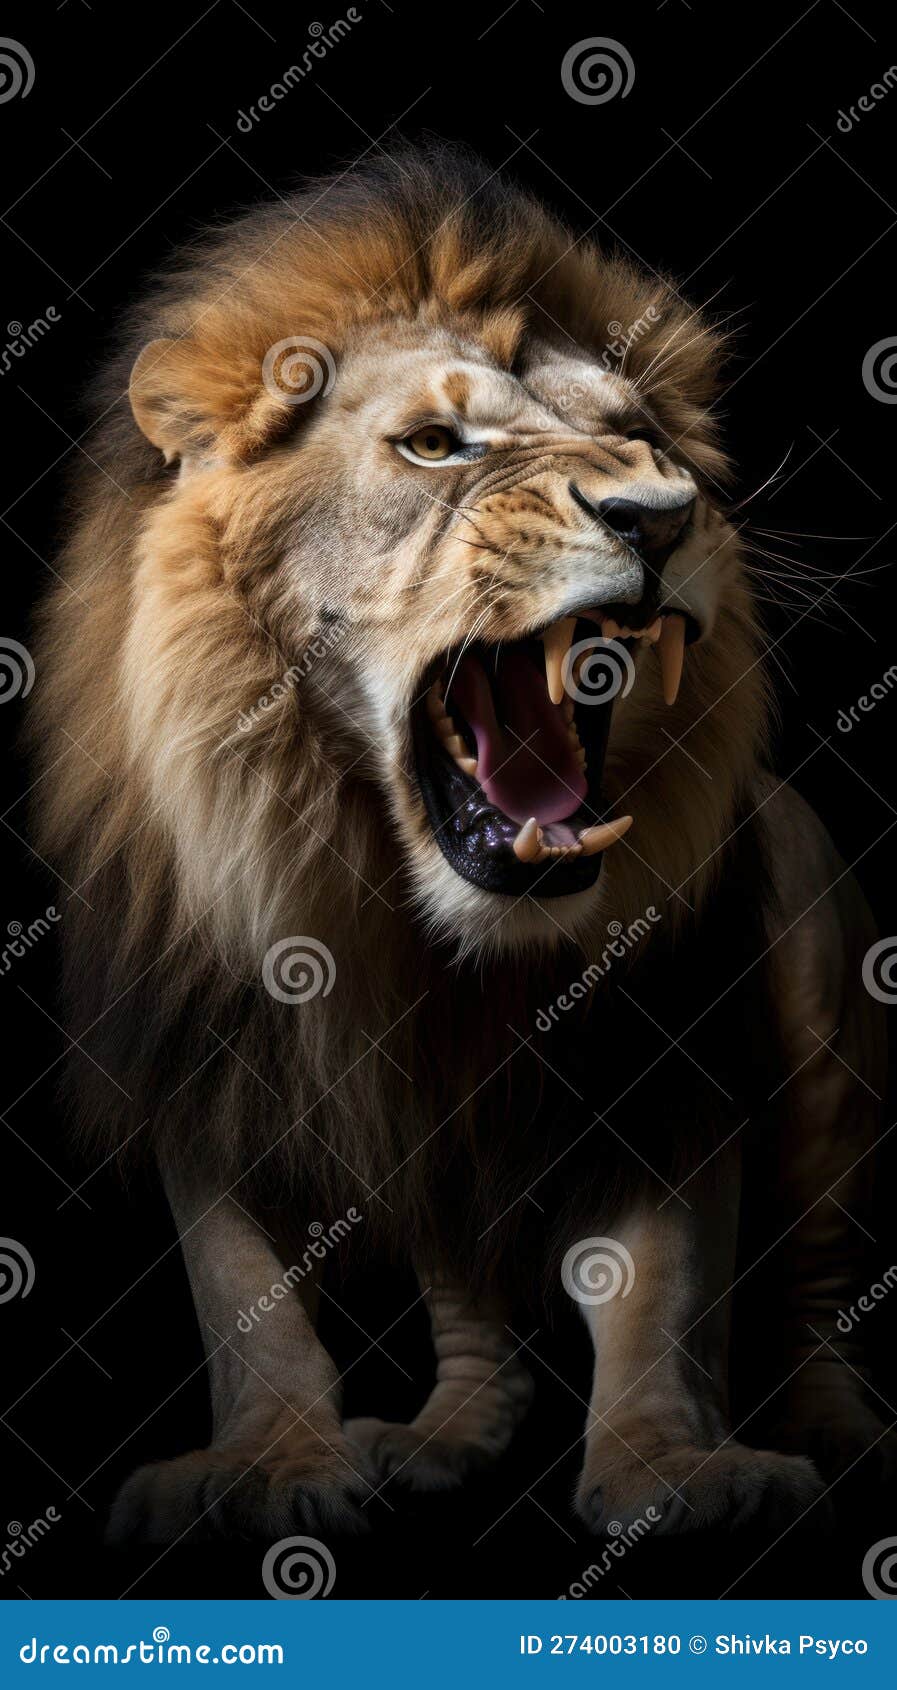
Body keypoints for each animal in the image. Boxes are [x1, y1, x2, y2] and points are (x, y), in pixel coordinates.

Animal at [31, 145, 890, 1551]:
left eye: (648, 439)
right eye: (435, 445)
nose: (663, 514)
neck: (418, 922)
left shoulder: (667, 1057)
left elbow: (663, 1285)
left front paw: (671, 1466)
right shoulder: (204, 1044)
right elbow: (242, 1291)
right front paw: (268, 1461)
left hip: (824, 1010)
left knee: (814, 1276)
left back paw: (835, 1429)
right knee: (467, 1292)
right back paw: (441, 1438)